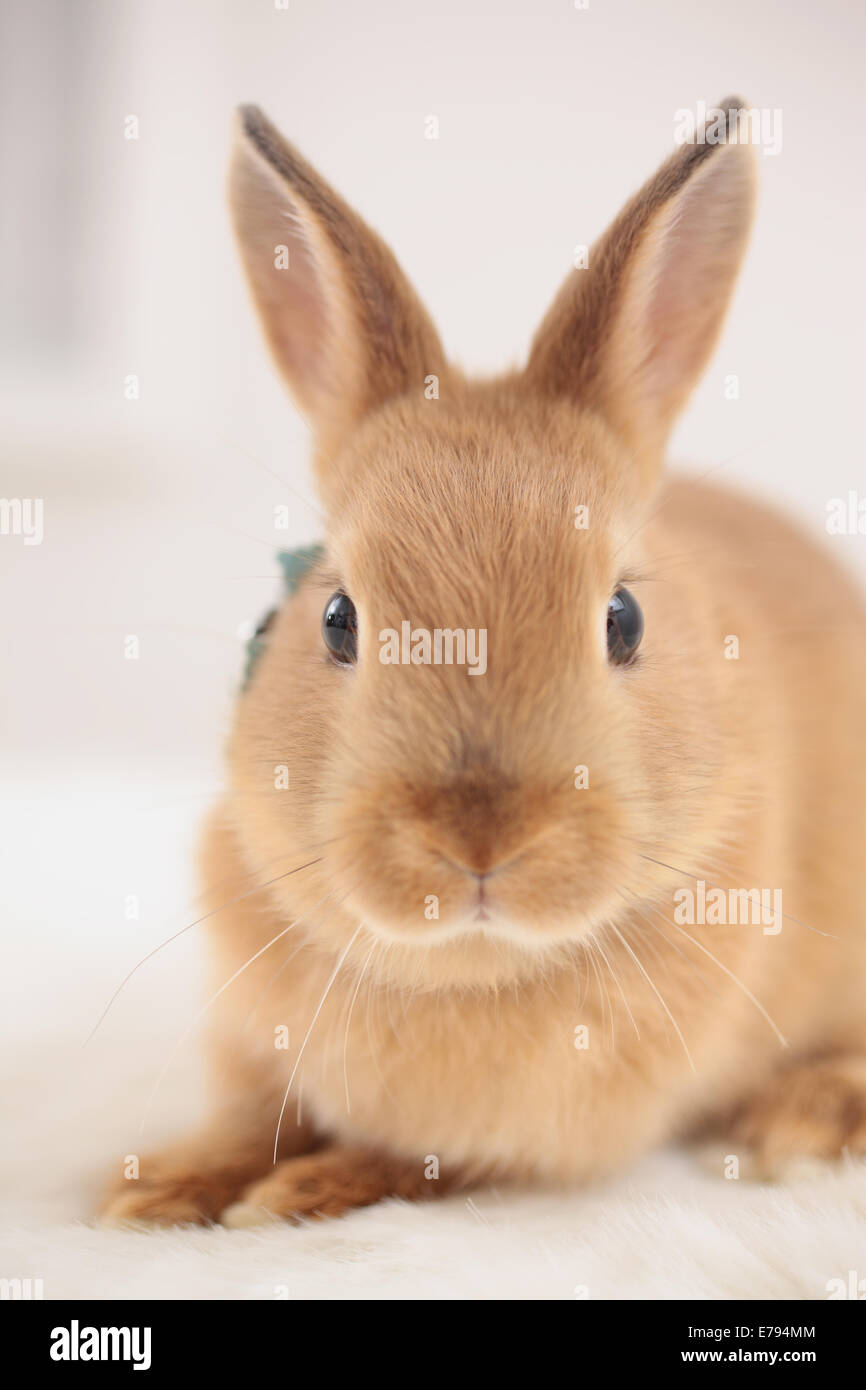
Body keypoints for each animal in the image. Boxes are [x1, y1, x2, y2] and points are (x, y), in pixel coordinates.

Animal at [100, 98, 866, 1228]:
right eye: (337, 618)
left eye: (623, 619)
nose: (479, 838)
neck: (465, 964)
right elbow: (245, 1121)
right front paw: (156, 1188)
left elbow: (423, 1160)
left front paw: (299, 1192)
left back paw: (806, 1124)